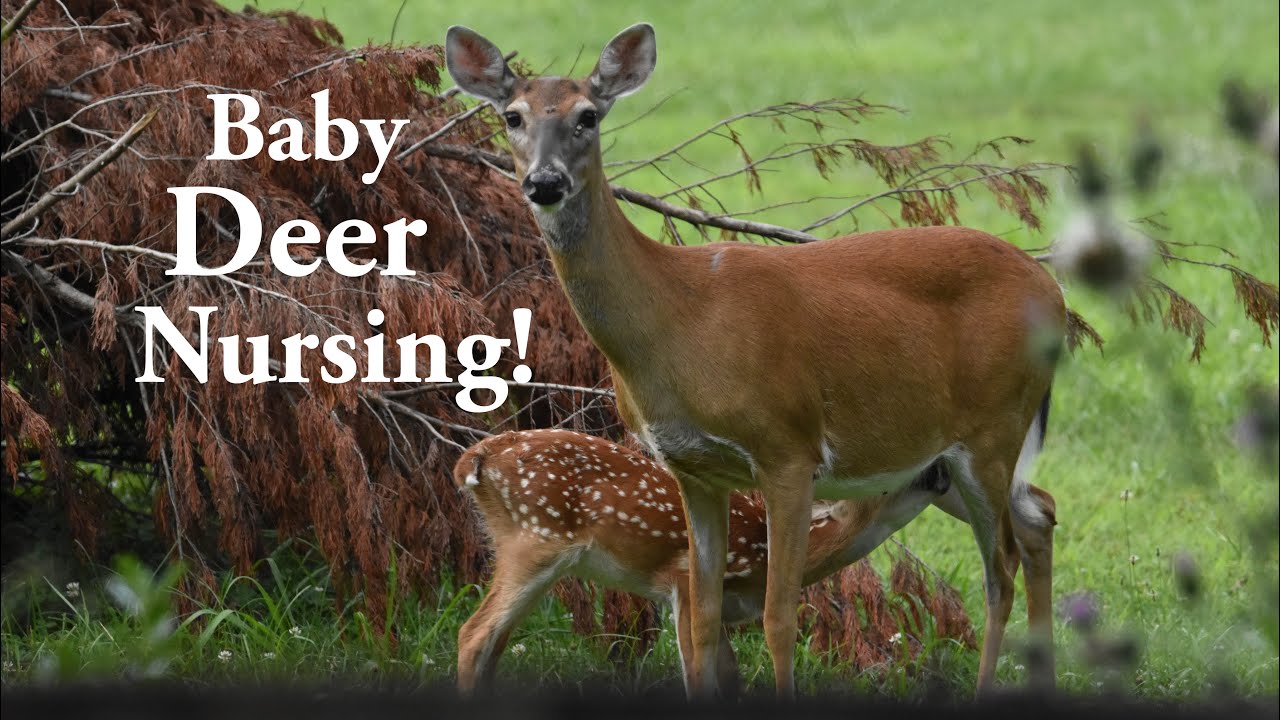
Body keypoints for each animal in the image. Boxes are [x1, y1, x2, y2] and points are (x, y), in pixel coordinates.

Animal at [452, 428, 954, 696]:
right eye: (890, 478)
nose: (942, 469)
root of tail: (474, 460)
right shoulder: (683, 582)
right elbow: (698, 674)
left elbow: (729, 678)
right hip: (536, 540)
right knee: (473, 634)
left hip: (524, 547)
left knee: (492, 641)